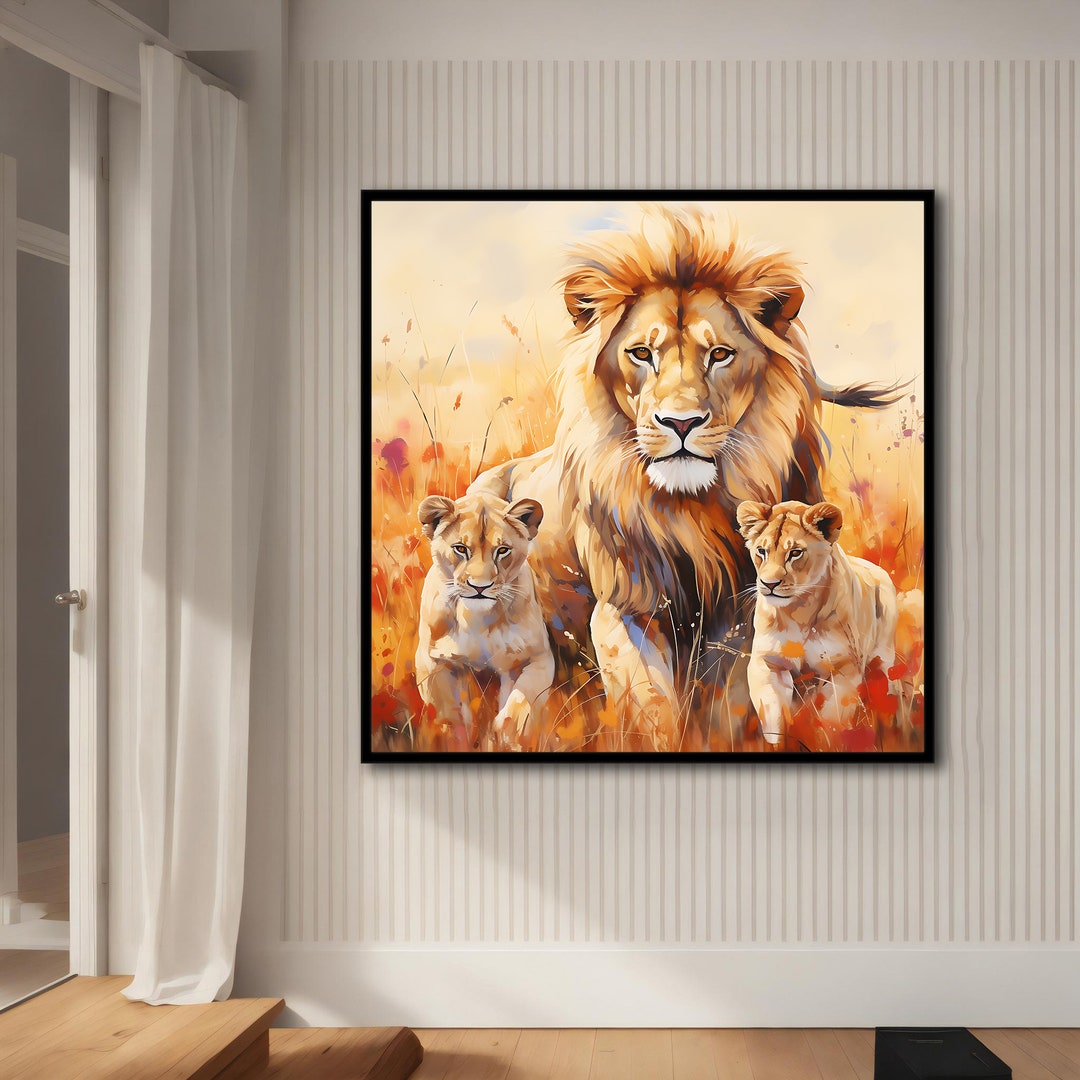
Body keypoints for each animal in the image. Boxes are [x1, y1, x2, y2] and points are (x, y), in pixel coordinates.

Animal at [415, 491, 555, 751]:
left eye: (502, 550)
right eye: (460, 549)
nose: (480, 587)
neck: (476, 618)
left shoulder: (538, 656)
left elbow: (523, 699)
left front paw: (504, 735)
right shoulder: (432, 660)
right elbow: (449, 714)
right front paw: (459, 739)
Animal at [736, 499, 899, 746]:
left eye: (795, 553)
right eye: (761, 551)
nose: (769, 584)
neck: (798, 612)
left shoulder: (845, 667)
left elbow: (831, 719)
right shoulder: (767, 662)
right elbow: (774, 715)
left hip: (883, 660)